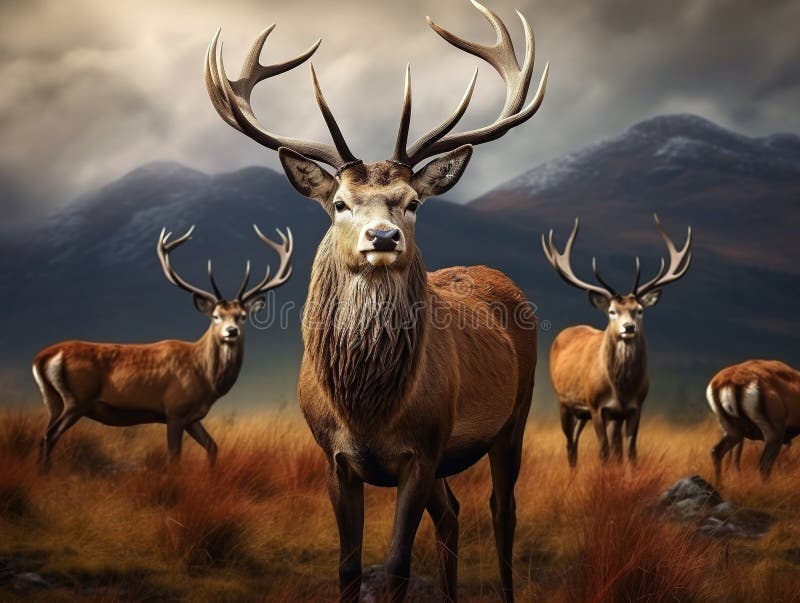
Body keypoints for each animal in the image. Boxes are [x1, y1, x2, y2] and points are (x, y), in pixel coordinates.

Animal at [32, 224, 293, 469]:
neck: (205, 378)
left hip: (53, 401)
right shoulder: (174, 409)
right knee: (48, 437)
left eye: (242, 316)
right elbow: (174, 457)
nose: (231, 331)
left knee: (44, 435)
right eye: (216, 316)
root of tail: (43, 357)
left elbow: (213, 447)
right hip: (77, 399)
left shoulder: (192, 416)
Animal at [204, 2, 546, 600]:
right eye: (340, 203)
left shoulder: (422, 450)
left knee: (502, 512)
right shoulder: (335, 458)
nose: (383, 237)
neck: (366, 406)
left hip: (514, 416)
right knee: (453, 514)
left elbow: (396, 567)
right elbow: (346, 567)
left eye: (412, 202)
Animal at [542, 215, 691, 466]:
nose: (629, 327)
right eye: (612, 311)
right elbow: (603, 451)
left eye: (639, 310)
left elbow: (629, 452)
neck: (620, 388)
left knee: (602, 446)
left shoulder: (634, 407)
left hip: (591, 414)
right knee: (571, 445)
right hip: (565, 402)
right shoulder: (595, 405)